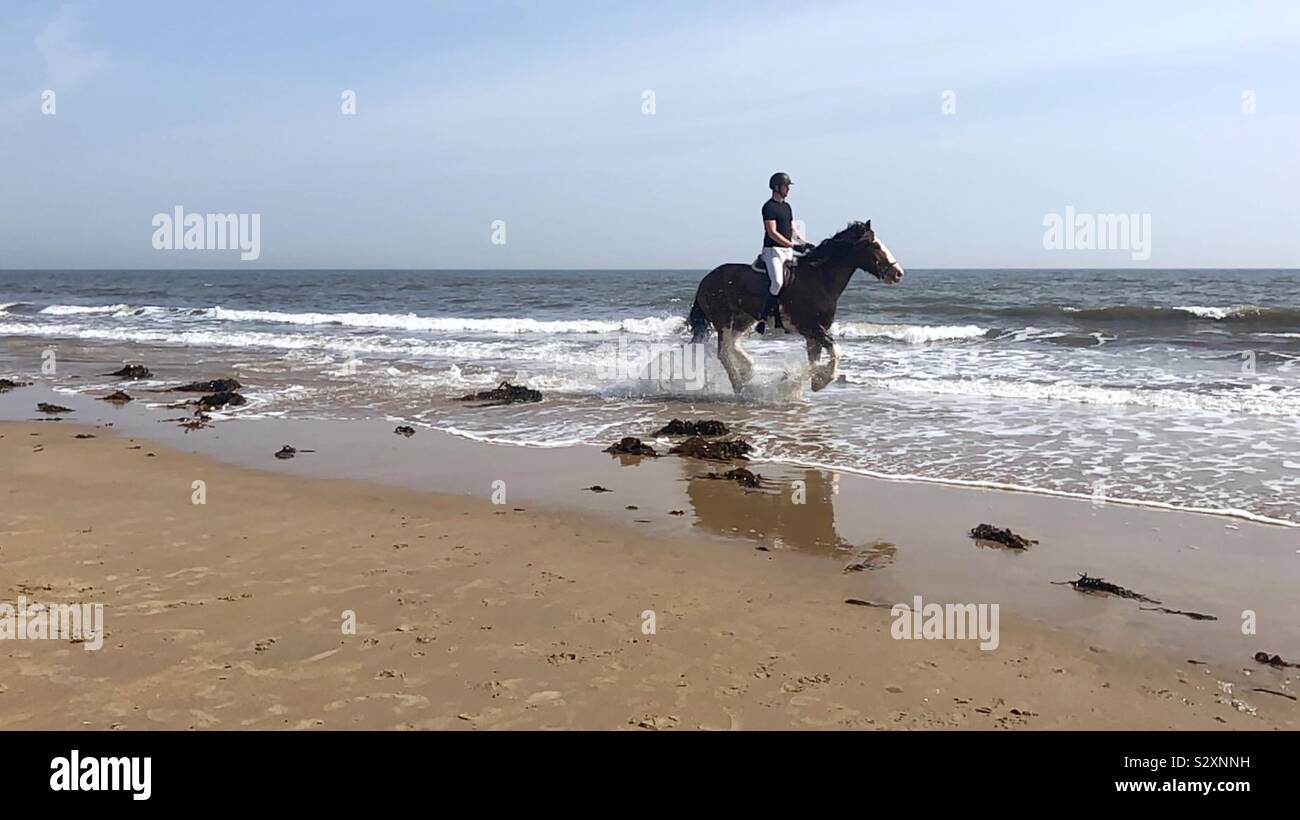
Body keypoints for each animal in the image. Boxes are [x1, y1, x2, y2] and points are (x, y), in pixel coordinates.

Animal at [687, 220, 904, 394]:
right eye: (875, 244)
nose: (898, 273)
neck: (820, 279)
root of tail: (706, 279)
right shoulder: (812, 328)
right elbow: (835, 352)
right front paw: (813, 381)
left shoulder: (814, 334)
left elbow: (815, 362)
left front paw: (803, 381)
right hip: (723, 320)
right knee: (723, 352)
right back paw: (740, 386)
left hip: (743, 319)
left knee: (732, 345)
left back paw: (748, 373)